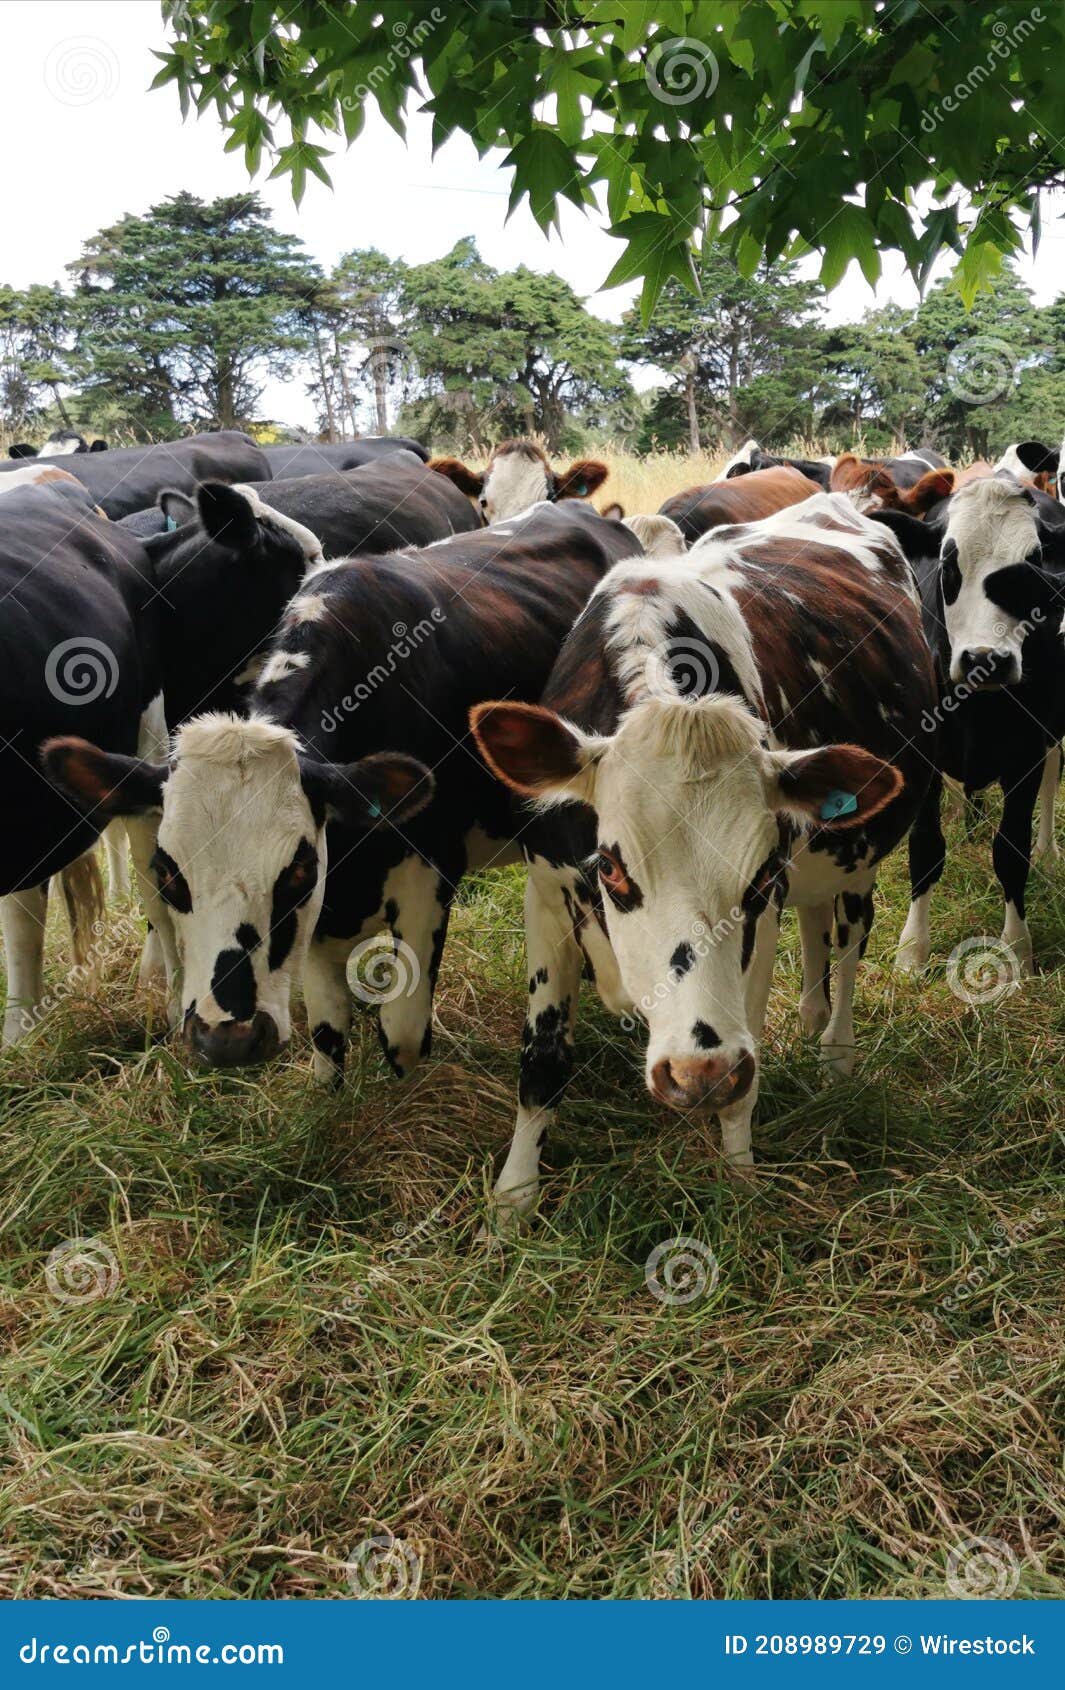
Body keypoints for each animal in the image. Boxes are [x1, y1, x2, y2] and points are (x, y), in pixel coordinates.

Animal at [43, 505, 644, 1078]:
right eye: (168, 874)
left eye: (297, 870)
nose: (227, 1039)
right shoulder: (322, 917)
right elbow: (328, 1034)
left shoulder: (428, 876)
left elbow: (401, 1034)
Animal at [469, 492, 936, 1225]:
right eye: (610, 867)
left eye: (758, 876)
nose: (700, 1074)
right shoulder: (544, 892)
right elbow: (541, 1060)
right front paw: (515, 1196)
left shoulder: (765, 914)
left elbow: (749, 1057)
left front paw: (739, 1178)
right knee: (816, 927)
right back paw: (809, 1018)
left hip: (858, 861)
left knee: (849, 938)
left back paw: (833, 1052)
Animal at [869, 476, 1065, 979]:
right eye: (947, 564)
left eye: (1033, 565)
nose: (985, 659)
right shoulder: (922, 748)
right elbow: (925, 849)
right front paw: (912, 949)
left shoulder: (1026, 753)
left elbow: (1011, 852)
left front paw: (1017, 946)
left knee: (1053, 780)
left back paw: (1048, 851)